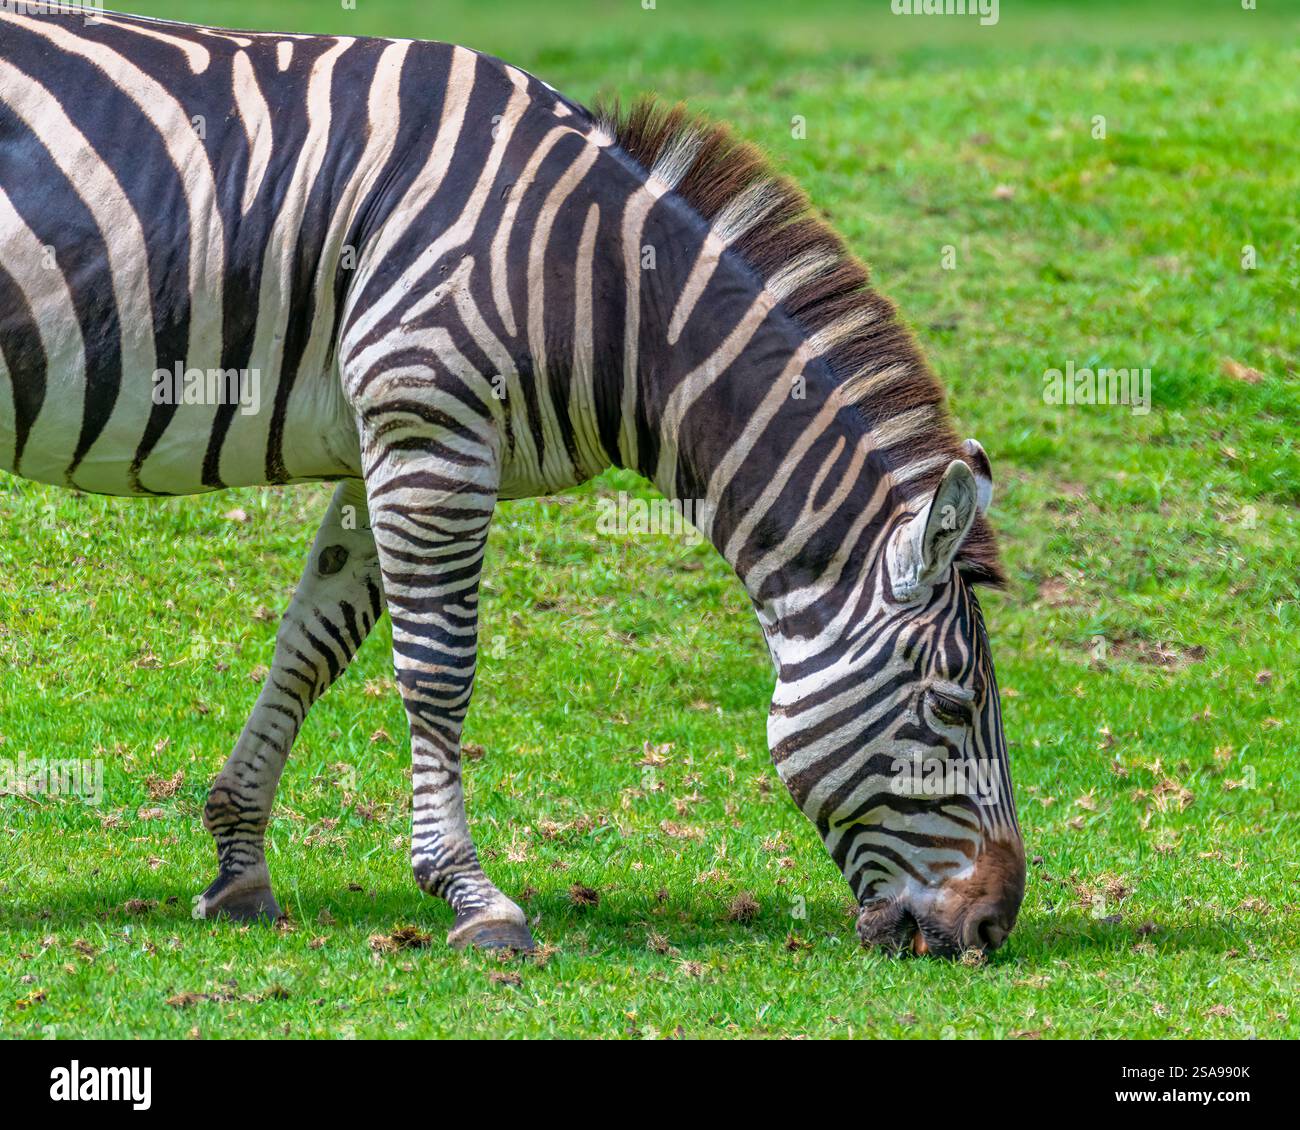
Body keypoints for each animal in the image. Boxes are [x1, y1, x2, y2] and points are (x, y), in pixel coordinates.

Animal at [0, 6, 1025, 957]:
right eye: (953, 706)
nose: (994, 924)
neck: (599, 288)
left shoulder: (385, 441)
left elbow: (312, 647)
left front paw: (239, 866)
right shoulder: (430, 427)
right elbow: (438, 671)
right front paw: (472, 896)